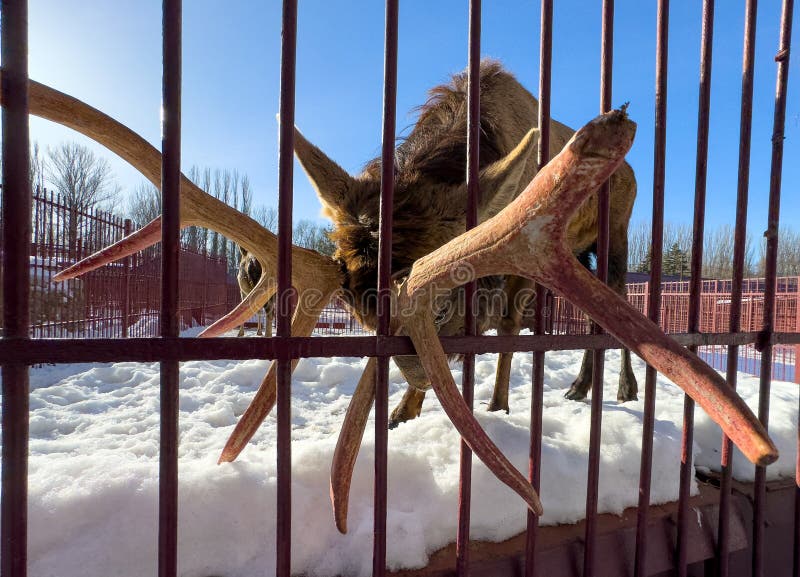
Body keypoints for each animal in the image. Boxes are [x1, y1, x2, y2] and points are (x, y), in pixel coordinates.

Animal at [13, 63, 776, 535]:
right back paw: (563, 387)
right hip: (568, 251)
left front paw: (467, 402)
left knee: (606, 297)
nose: (412, 373)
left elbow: (485, 332)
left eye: (432, 303)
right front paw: (405, 412)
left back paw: (604, 387)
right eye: (352, 304)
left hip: (609, 232)